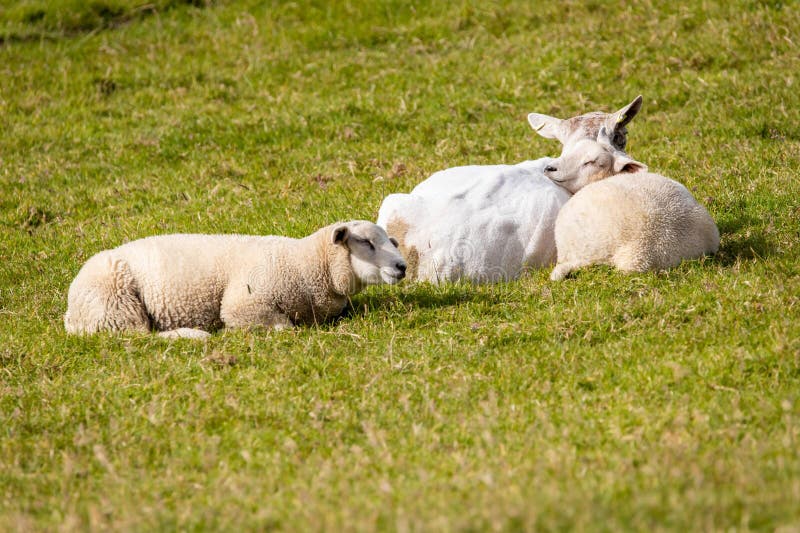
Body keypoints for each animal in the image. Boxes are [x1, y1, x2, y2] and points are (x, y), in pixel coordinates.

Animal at [64, 221, 407, 339]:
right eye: (366, 242)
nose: (402, 266)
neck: (303, 263)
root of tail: (71, 315)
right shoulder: (244, 303)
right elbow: (283, 328)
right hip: (116, 305)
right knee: (137, 337)